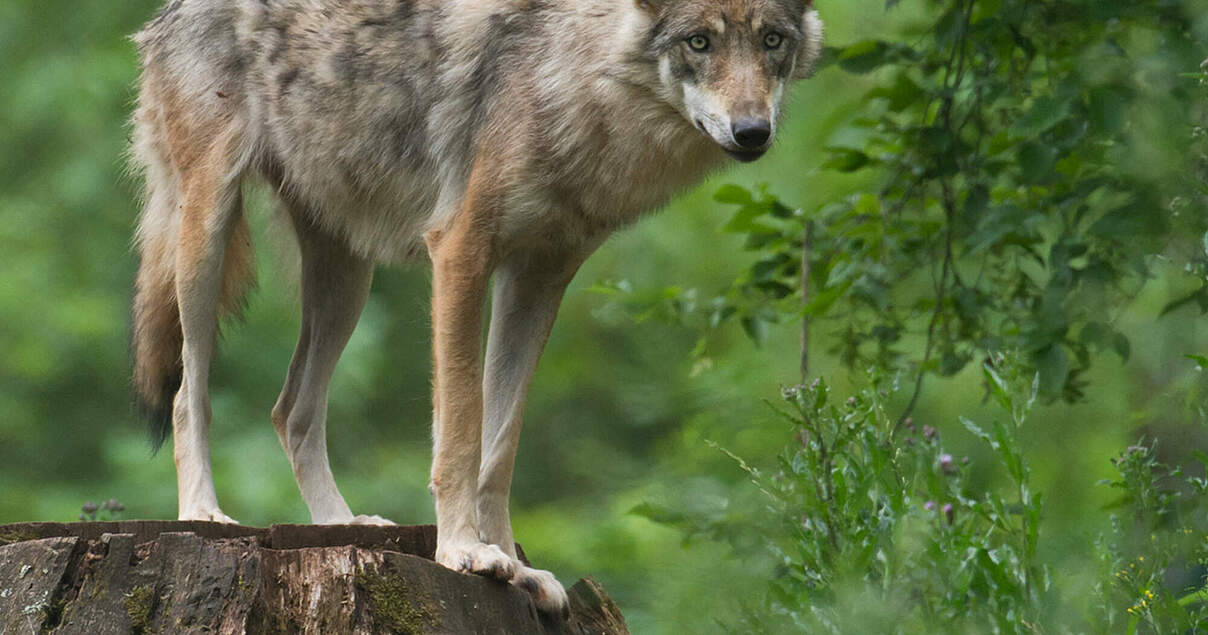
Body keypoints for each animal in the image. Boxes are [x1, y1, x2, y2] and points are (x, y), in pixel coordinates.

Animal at [129, 0, 822, 614]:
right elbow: (462, 425)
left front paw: (517, 565)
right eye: (699, 42)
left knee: (291, 409)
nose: (753, 131)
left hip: (348, 278)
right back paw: (203, 511)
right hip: (207, 230)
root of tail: (166, 11)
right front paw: (464, 552)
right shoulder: (461, 252)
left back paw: (344, 522)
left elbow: (502, 442)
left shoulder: (539, 278)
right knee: (189, 392)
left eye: (772, 41)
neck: (568, 73)